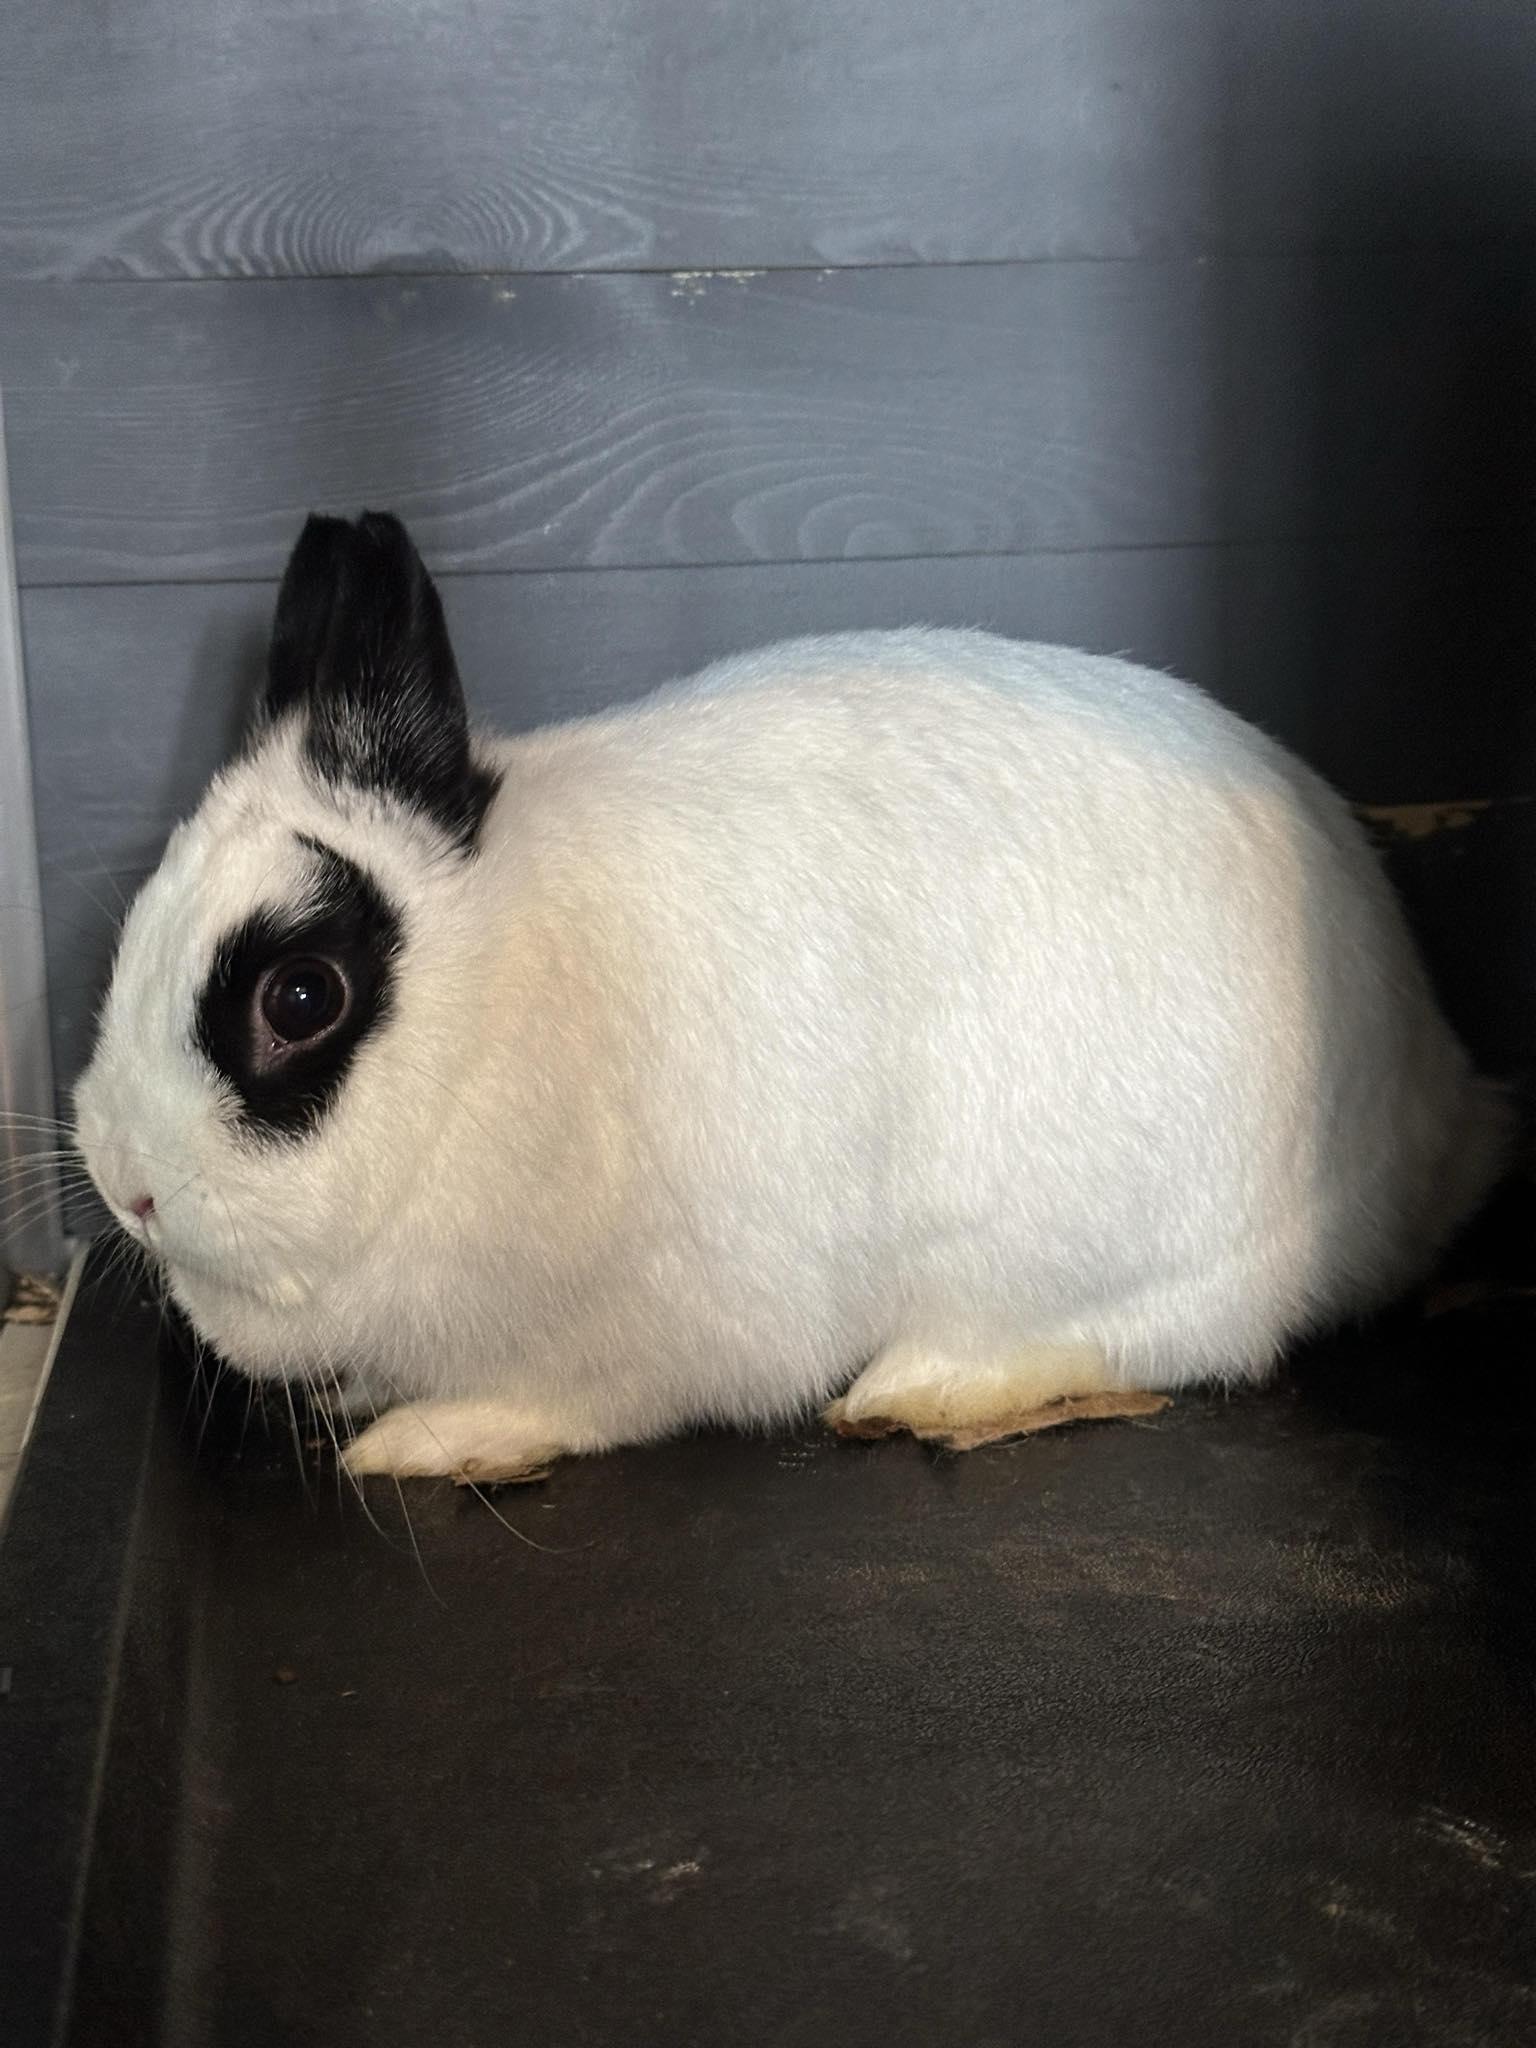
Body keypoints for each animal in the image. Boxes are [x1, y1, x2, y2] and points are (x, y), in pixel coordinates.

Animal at [74, 511, 1507, 1482]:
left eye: (301, 995)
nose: (123, 1184)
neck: (488, 1025)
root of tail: (1442, 1100)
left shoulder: (654, 1341)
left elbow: (568, 1404)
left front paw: (421, 1440)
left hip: (1150, 1246)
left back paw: (923, 1386)